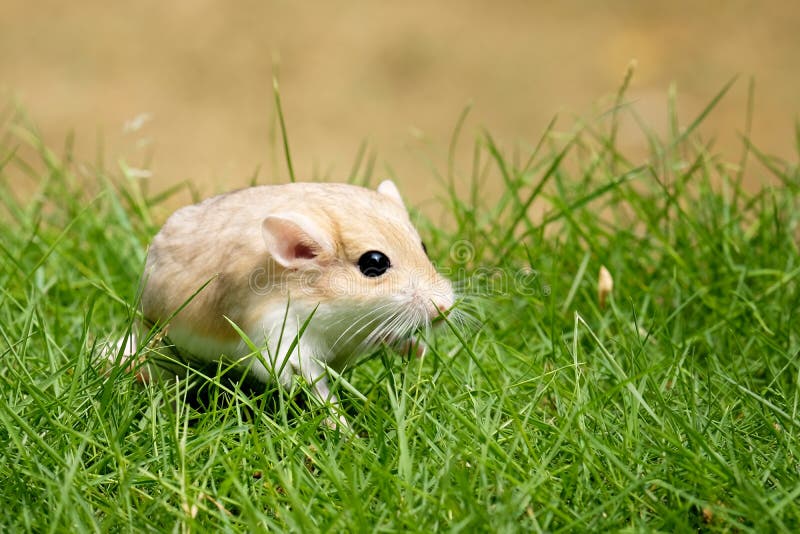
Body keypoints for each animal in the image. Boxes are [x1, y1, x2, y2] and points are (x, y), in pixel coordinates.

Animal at [132, 180, 454, 424]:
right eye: (373, 263)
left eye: (423, 246)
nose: (445, 309)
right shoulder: (285, 344)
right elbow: (318, 390)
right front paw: (345, 431)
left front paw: (419, 351)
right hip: (166, 355)